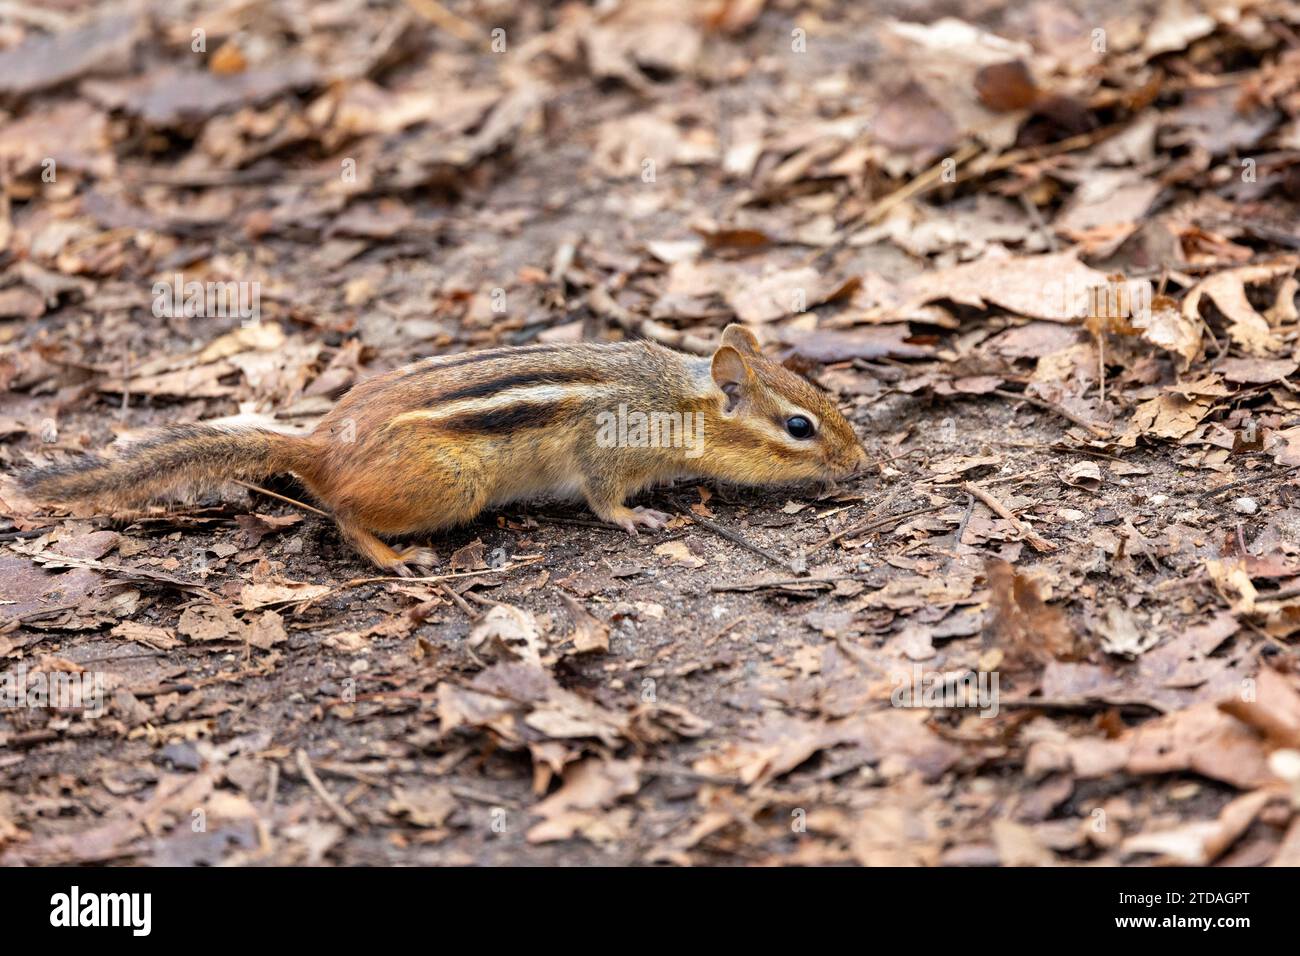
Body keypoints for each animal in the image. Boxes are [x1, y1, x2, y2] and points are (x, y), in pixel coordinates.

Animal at [18, 324, 869, 575]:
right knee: (344, 518)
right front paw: (638, 520)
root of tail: (318, 444)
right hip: (450, 485)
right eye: (801, 426)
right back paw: (396, 559)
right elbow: (604, 497)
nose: (863, 464)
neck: (674, 399)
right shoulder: (607, 452)